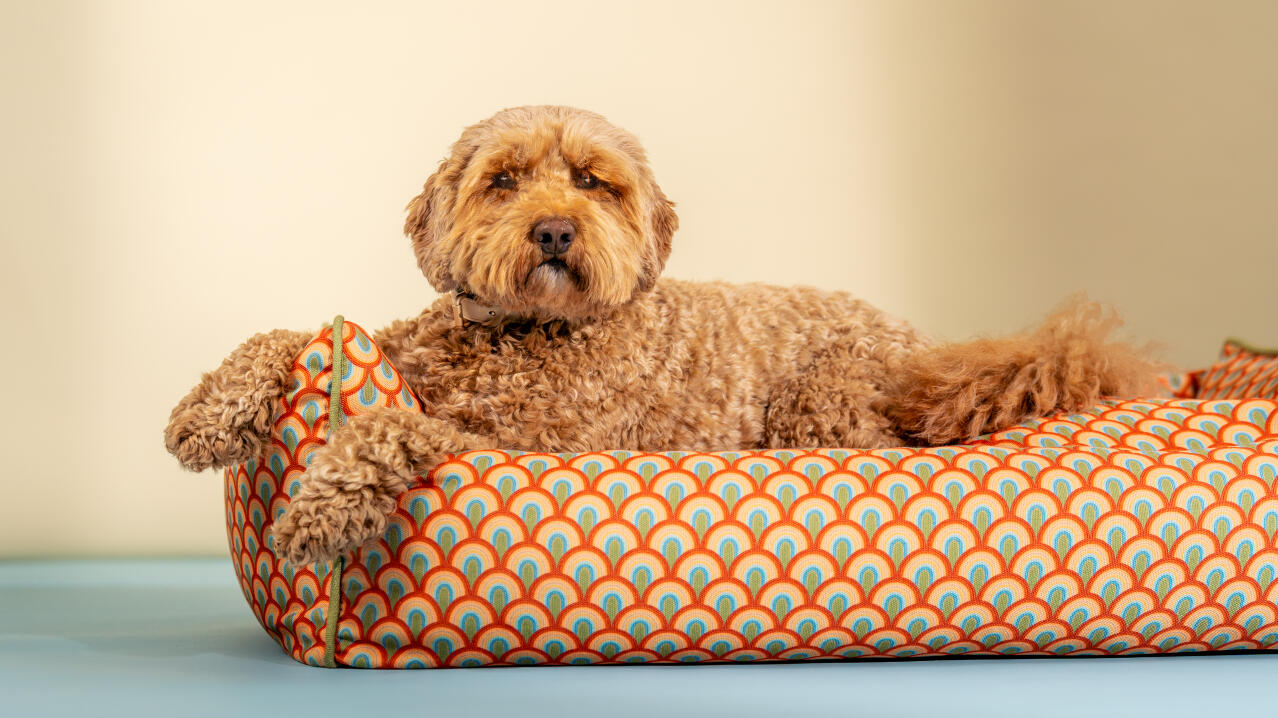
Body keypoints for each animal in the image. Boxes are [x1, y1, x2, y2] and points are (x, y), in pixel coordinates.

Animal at [162, 106, 1160, 564]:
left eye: (594, 182)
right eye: (504, 180)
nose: (554, 232)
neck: (522, 333)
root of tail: (925, 344)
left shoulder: (527, 444)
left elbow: (387, 423)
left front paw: (321, 507)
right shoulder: (415, 352)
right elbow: (287, 331)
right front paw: (208, 412)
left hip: (822, 401)